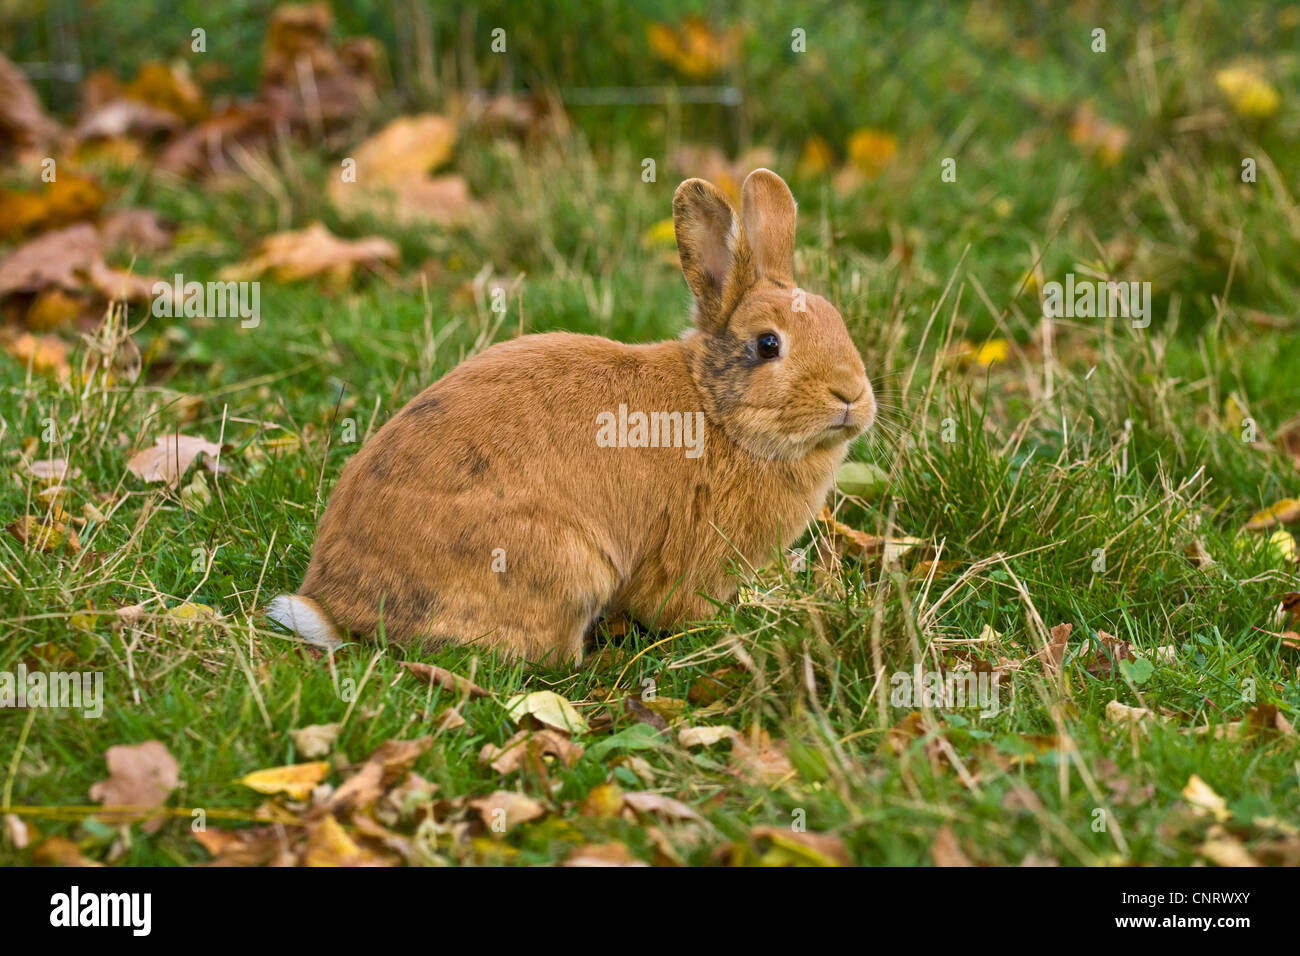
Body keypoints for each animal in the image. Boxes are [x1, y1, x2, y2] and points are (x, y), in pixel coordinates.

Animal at [267, 168, 875, 661]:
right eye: (768, 345)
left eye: (837, 320)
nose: (851, 394)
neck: (714, 408)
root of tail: (337, 609)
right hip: (564, 564)